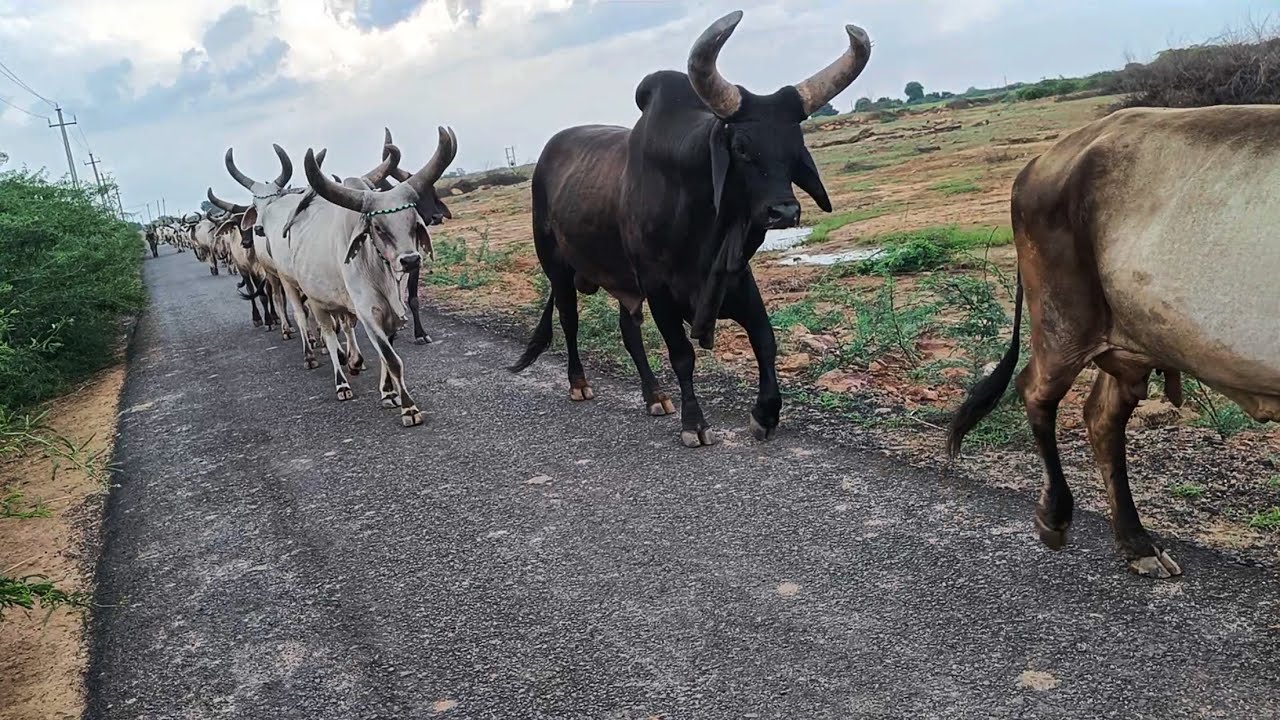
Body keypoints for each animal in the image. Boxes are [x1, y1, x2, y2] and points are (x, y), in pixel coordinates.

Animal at [273, 126, 458, 426]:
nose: (410, 260)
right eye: (378, 227)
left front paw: (389, 393)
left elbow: (386, 354)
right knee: (327, 335)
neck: (379, 268)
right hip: (315, 301)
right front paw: (409, 408)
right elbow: (391, 358)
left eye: (412, 220)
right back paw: (341, 382)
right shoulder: (368, 311)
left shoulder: (393, 312)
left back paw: (354, 362)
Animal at [509, 10, 870, 448]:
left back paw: (654, 396)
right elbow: (683, 355)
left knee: (628, 331)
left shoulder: (736, 280)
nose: (783, 212)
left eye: (794, 146)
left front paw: (765, 414)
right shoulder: (659, 288)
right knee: (569, 321)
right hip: (558, 269)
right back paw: (579, 383)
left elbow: (765, 341)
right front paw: (694, 423)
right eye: (741, 147)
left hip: (623, 283)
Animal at [945, 105, 1280, 579]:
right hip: (1064, 322)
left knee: (1101, 417)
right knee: (1035, 391)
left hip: (1132, 339)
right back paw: (1056, 516)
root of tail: (1039, 163)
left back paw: (1137, 543)